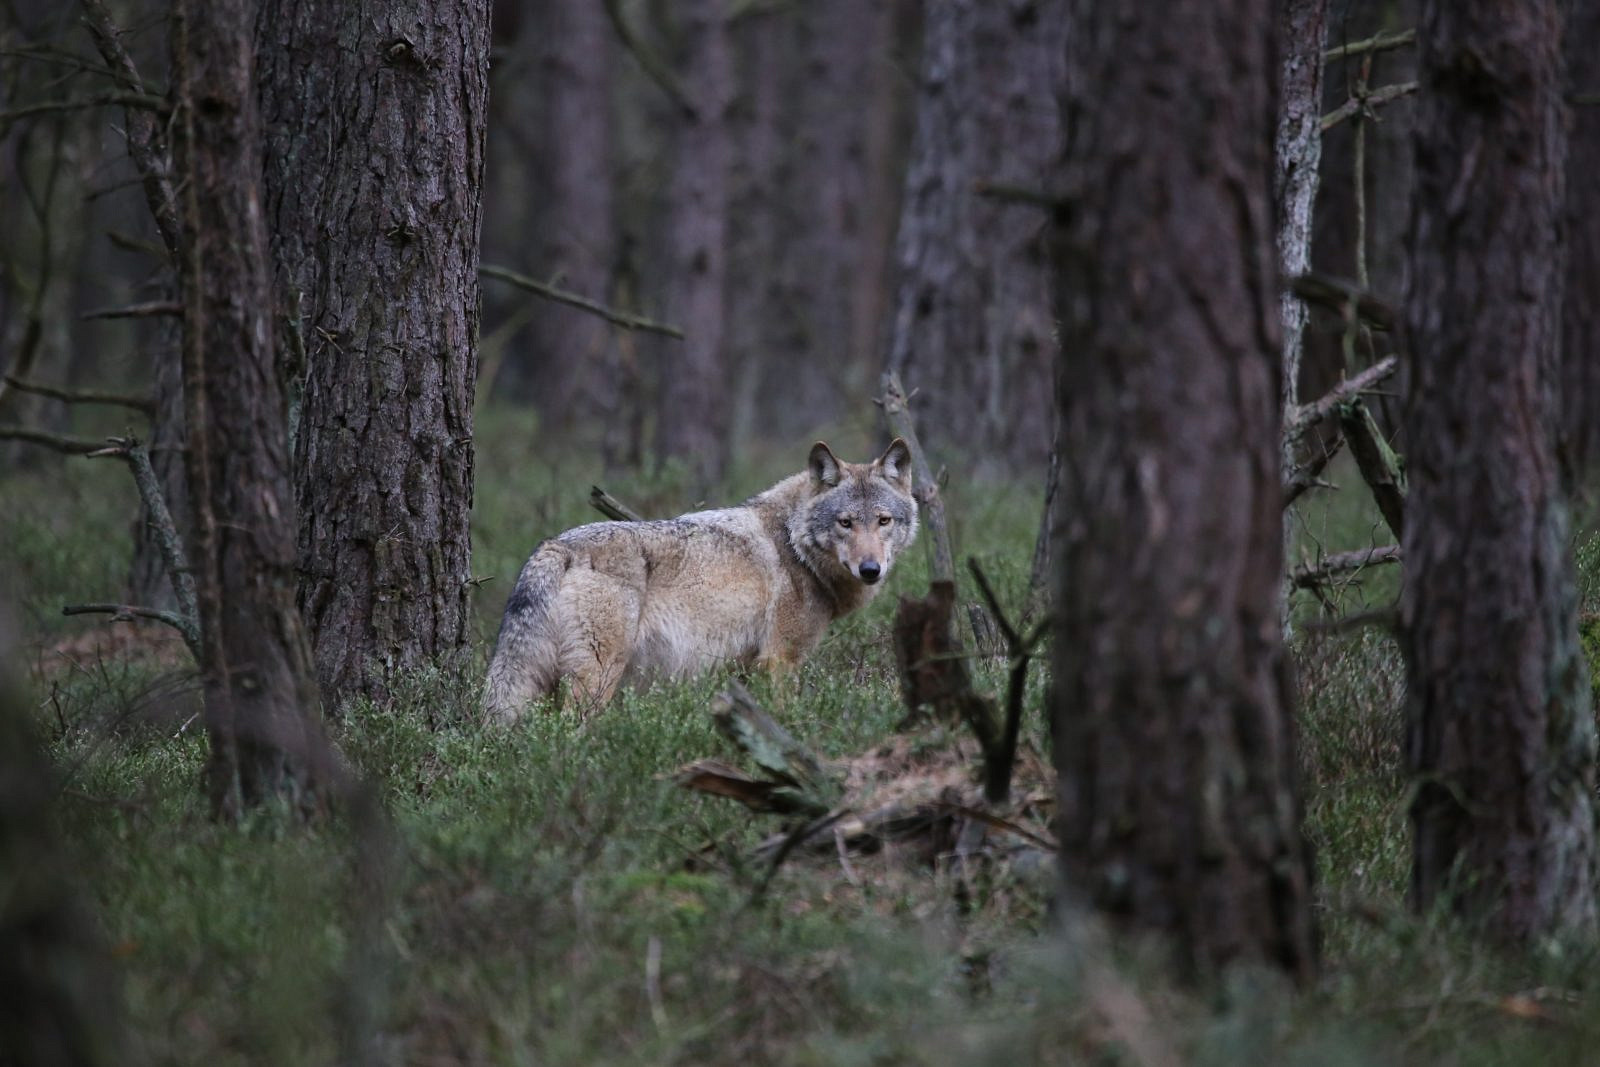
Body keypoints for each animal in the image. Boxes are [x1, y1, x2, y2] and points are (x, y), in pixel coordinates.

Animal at [482, 439, 919, 721]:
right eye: (845, 523)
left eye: (883, 521)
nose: (870, 570)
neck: (795, 544)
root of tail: (556, 545)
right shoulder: (780, 660)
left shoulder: (746, 669)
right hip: (599, 677)